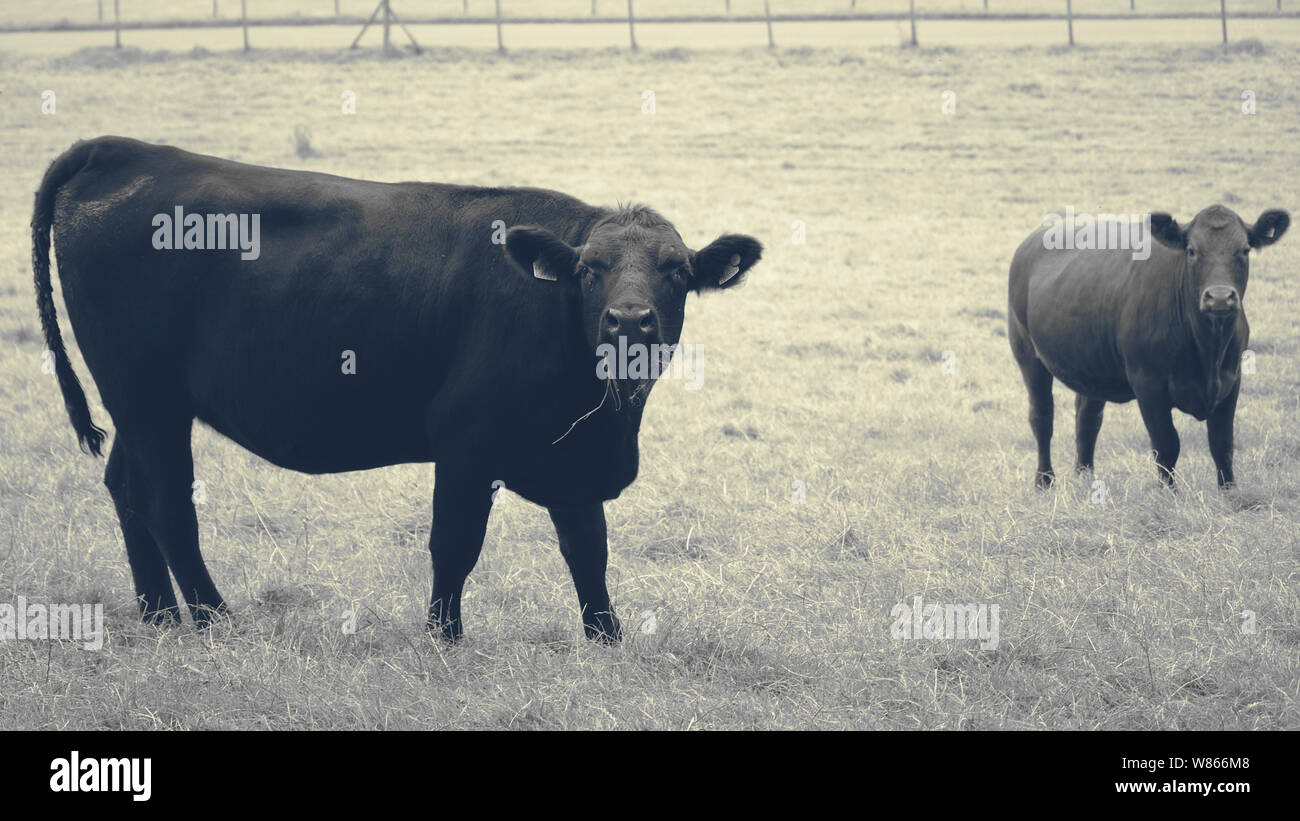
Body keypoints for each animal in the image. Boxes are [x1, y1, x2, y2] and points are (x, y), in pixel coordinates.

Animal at [32, 136, 762, 643]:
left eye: (676, 270)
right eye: (590, 269)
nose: (629, 320)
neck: (606, 417)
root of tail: (124, 151)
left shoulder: (569, 454)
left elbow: (588, 549)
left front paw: (607, 639)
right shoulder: (465, 443)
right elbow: (455, 544)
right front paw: (444, 637)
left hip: (140, 405)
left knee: (126, 488)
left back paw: (159, 617)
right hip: (148, 397)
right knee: (165, 503)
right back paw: (215, 620)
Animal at [1008, 204, 1289, 490]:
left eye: (1244, 250)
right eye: (1192, 250)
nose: (1219, 297)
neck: (1208, 350)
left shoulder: (1232, 380)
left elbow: (1222, 443)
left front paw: (1229, 492)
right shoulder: (1148, 384)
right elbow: (1167, 445)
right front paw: (1169, 493)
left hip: (1092, 364)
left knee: (1087, 420)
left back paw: (1086, 477)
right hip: (1027, 353)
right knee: (1042, 417)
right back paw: (1044, 480)